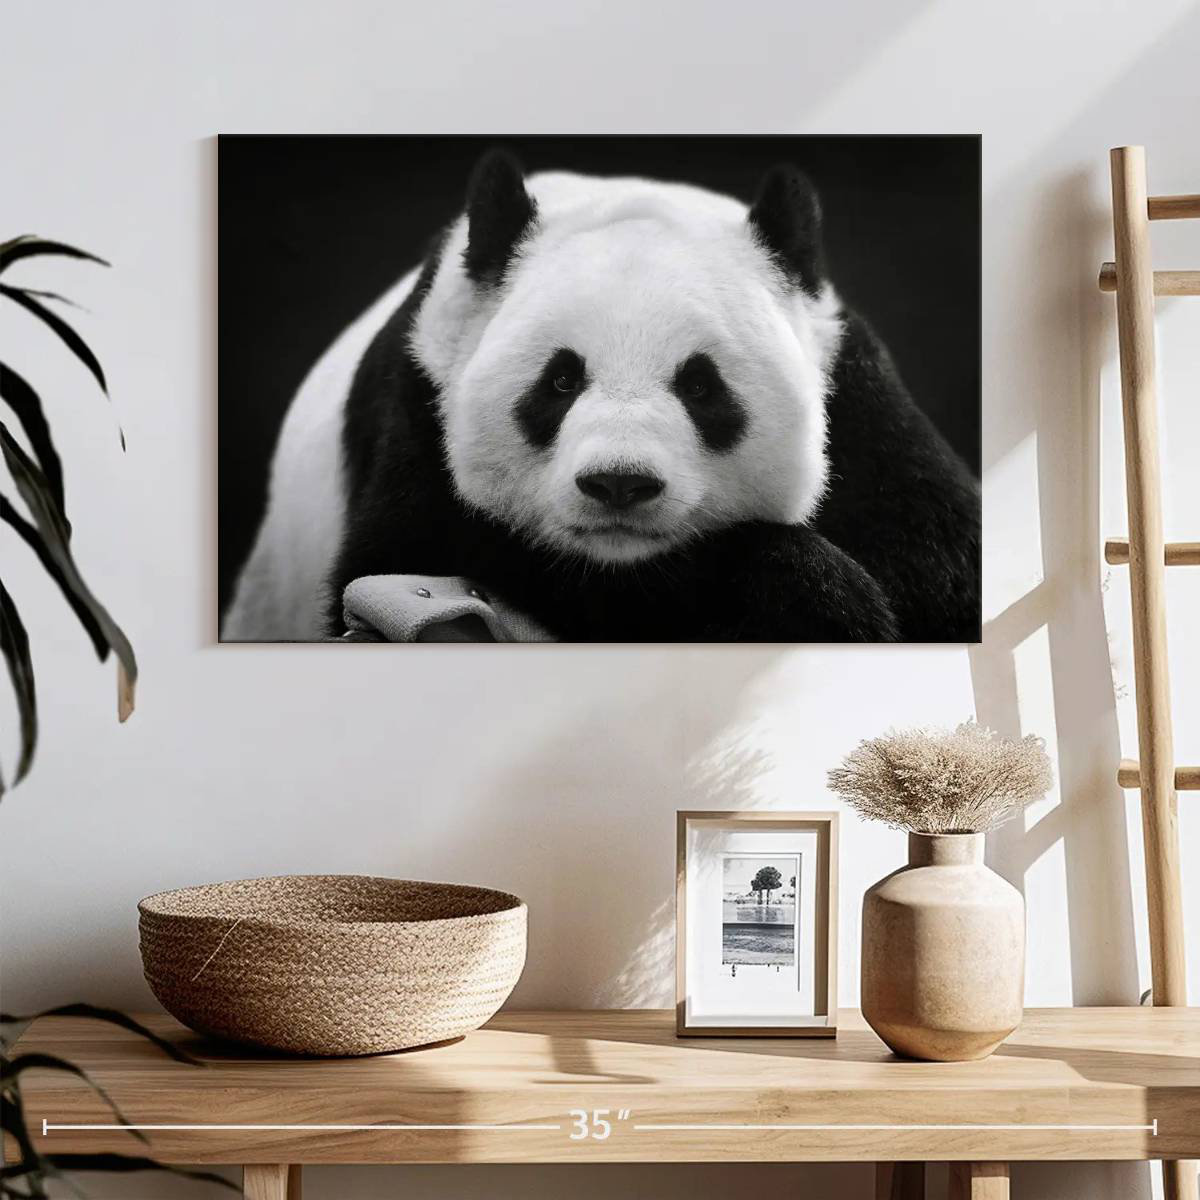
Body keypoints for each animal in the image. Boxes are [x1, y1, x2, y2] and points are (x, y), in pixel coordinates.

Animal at [223, 150, 980, 643]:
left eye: (700, 385)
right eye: (560, 380)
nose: (620, 484)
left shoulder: (859, 404)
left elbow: (947, 578)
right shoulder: (421, 402)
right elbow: (413, 555)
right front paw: (814, 596)